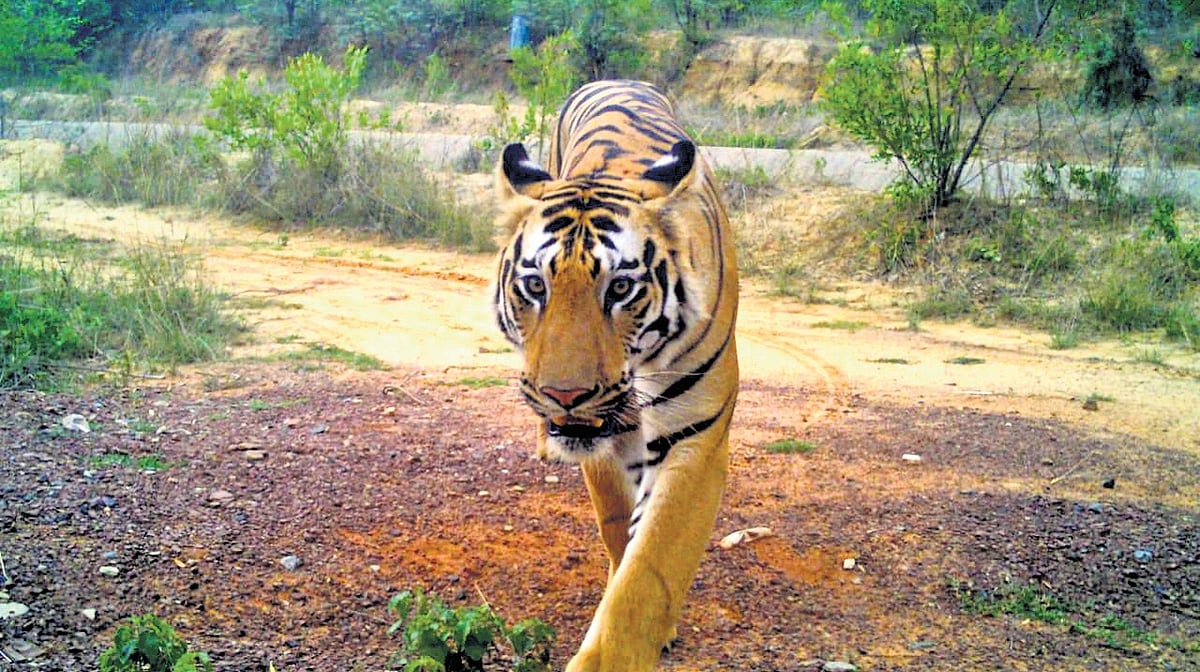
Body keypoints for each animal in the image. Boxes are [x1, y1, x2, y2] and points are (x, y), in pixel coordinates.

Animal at [491, 79, 739, 671]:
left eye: (620, 289)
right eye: (535, 286)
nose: (565, 395)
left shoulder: (694, 439)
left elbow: (647, 575)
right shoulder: (603, 440)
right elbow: (617, 526)